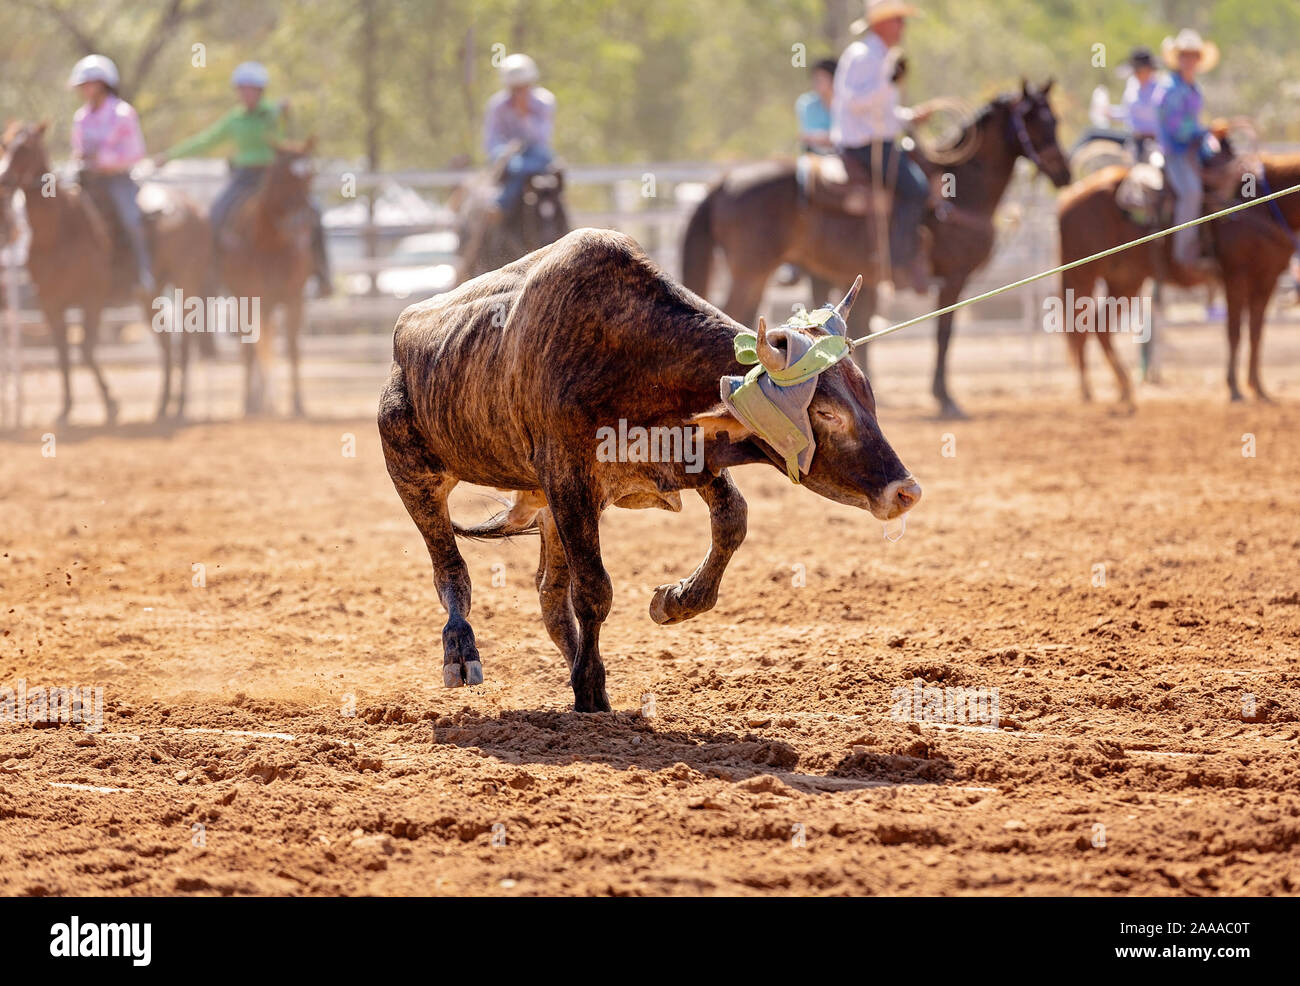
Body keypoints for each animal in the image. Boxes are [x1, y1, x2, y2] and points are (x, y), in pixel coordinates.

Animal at [378, 227, 921, 713]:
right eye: (827, 412)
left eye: (868, 396)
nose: (906, 492)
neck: (631, 352)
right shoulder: (569, 479)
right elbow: (594, 589)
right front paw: (590, 690)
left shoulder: (687, 456)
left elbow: (732, 521)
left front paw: (675, 600)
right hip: (414, 476)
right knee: (451, 569)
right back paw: (461, 653)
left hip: (548, 512)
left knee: (549, 595)